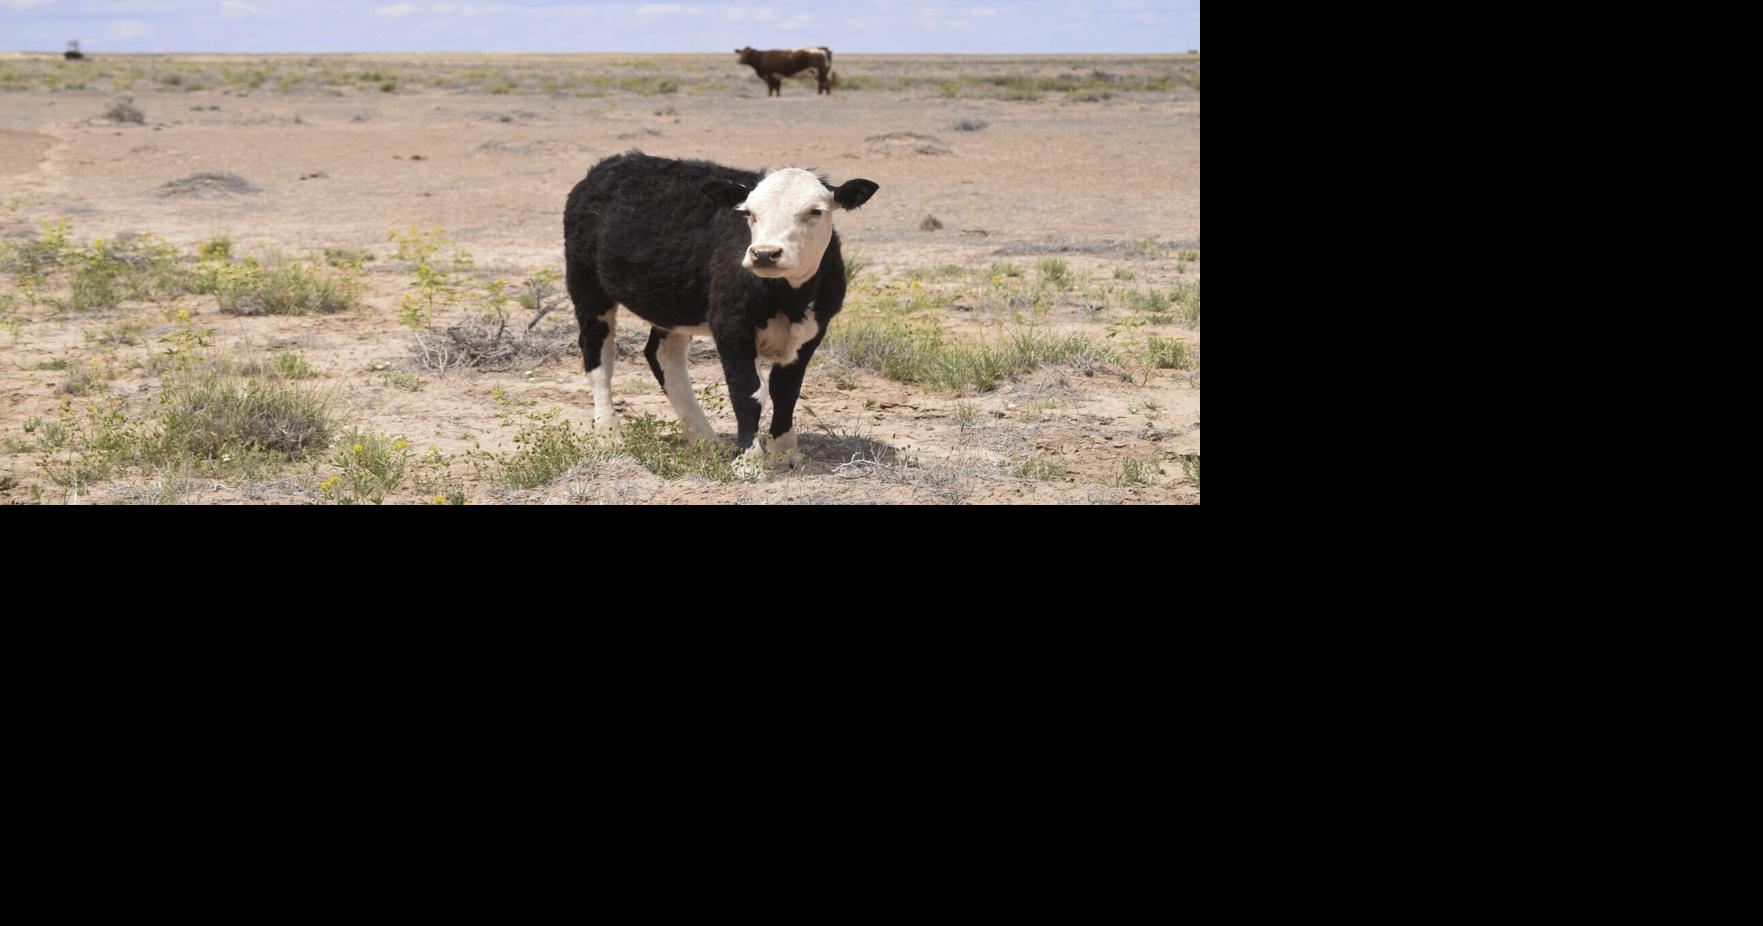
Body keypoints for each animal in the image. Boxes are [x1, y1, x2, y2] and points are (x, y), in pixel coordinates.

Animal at [563, 151, 879, 462]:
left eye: (815, 211)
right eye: (748, 212)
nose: (765, 253)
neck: (788, 300)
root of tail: (613, 163)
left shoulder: (814, 329)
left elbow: (786, 390)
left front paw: (784, 454)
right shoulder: (731, 325)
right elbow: (747, 391)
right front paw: (748, 461)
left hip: (672, 305)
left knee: (663, 356)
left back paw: (705, 441)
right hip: (587, 286)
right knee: (597, 354)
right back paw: (609, 435)